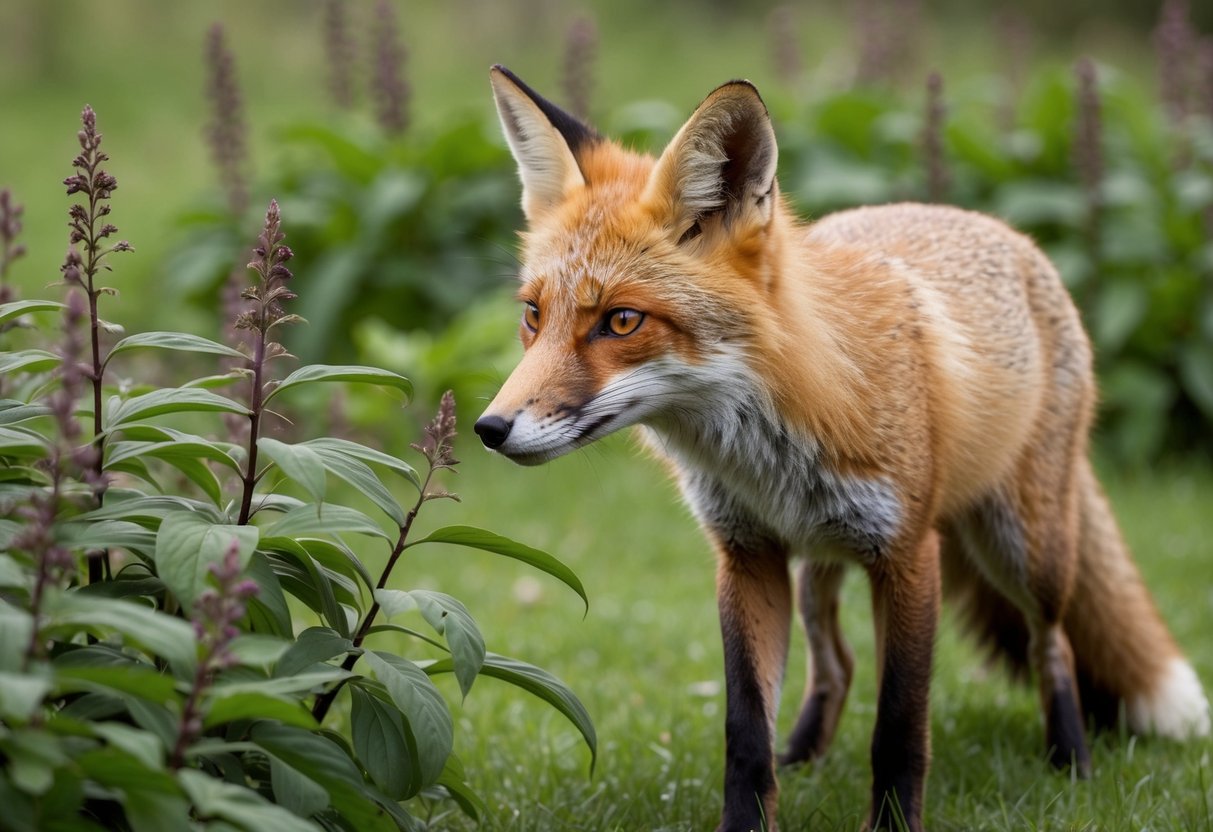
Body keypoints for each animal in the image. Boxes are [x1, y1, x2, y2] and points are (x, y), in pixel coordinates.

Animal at [473, 65, 1211, 832]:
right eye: (533, 316)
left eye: (621, 321)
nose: (490, 428)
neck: (767, 448)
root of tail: (1005, 230)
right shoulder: (748, 555)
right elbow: (745, 731)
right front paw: (749, 817)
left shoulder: (909, 556)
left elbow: (899, 726)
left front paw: (892, 825)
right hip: (817, 564)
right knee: (837, 663)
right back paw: (803, 754)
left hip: (1025, 547)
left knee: (1051, 641)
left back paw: (1070, 759)